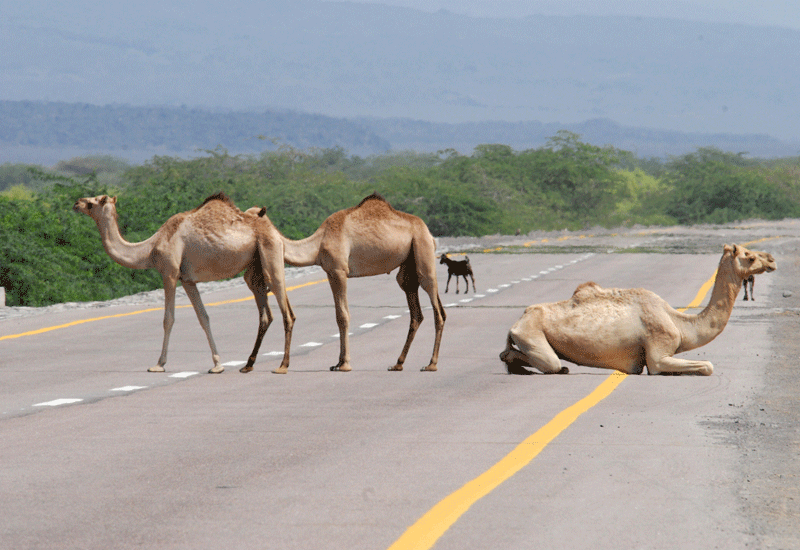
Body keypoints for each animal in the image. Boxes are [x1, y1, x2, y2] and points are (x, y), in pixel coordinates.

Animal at [73, 193, 295, 374]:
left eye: (95, 201)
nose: (77, 203)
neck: (150, 249)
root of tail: (274, 230)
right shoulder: (187, 280)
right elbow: (203, 318)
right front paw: (217, 364)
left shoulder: (169, 273)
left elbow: (168, 319)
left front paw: (159, 364)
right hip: (255, 267)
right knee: (267, 314)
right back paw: (248, 365)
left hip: (270, 252)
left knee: (287, 312)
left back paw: (282, 366)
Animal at [253, 193, 445, 372]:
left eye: (249, 217)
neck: (318, 243)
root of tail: (431, 236)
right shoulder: (330, 272)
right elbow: (338, 315)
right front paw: (337, 363)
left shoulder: (340, 271)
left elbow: (344, 315)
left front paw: (345, 364)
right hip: (408, 264)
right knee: (416, 310)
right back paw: (398, 363)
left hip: (423, 249)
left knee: (436, 307)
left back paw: (431, 364)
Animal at [500, 244, 776, 376]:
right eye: (749, 255)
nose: (772, 260)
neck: (680, 325)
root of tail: (515, 323)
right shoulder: (658, 353)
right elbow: (707, 366)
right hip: (532, 335)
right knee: (549, 362)